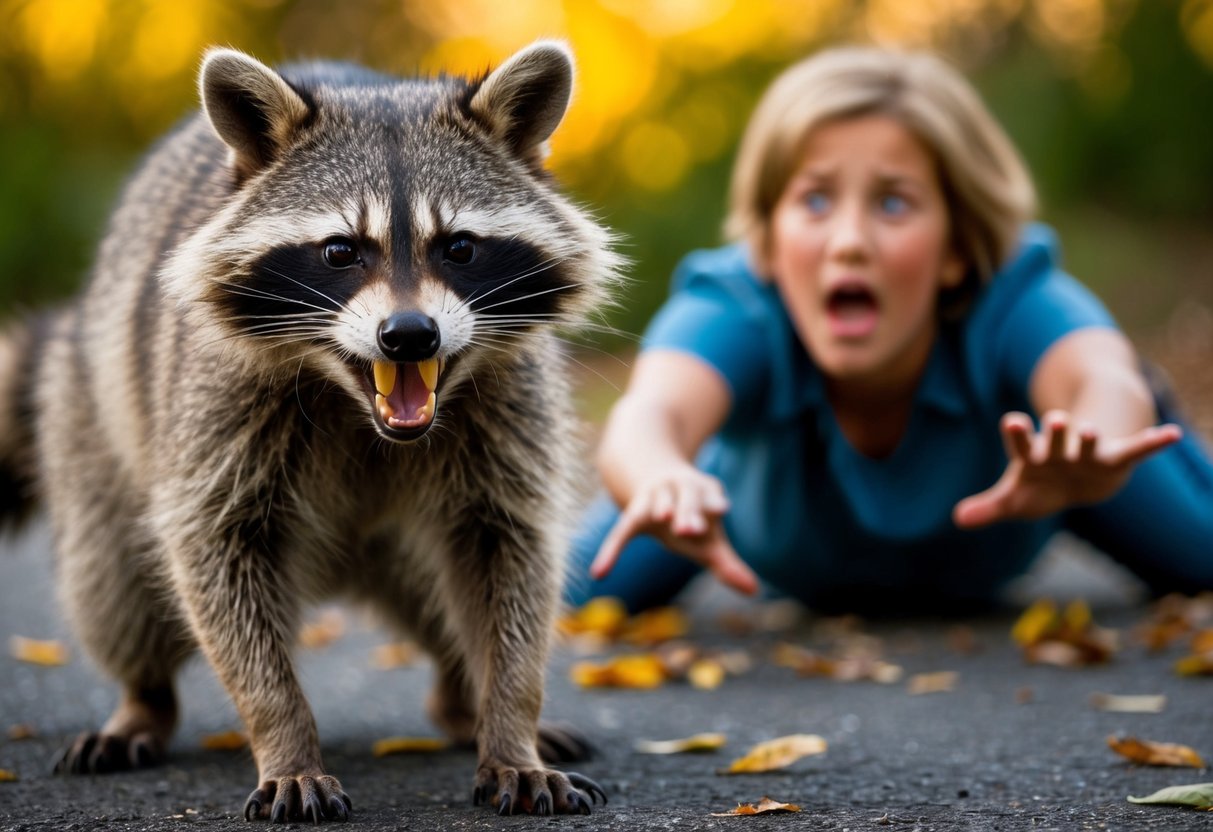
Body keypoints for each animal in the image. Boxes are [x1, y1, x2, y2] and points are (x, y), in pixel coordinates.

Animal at [0, 41, 619, 821]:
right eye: (339, 251)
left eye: (459, 248)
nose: (409, 336)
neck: (360, 408)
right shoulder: (214, 409)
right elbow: (214, 555)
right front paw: (285, 737)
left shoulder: (509, 410)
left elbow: (511, 557)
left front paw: (511, 724)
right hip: (88, 418)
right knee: (112, 583)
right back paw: (143, 700)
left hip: (407, 549)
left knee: (447, 606)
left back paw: (461, 700)